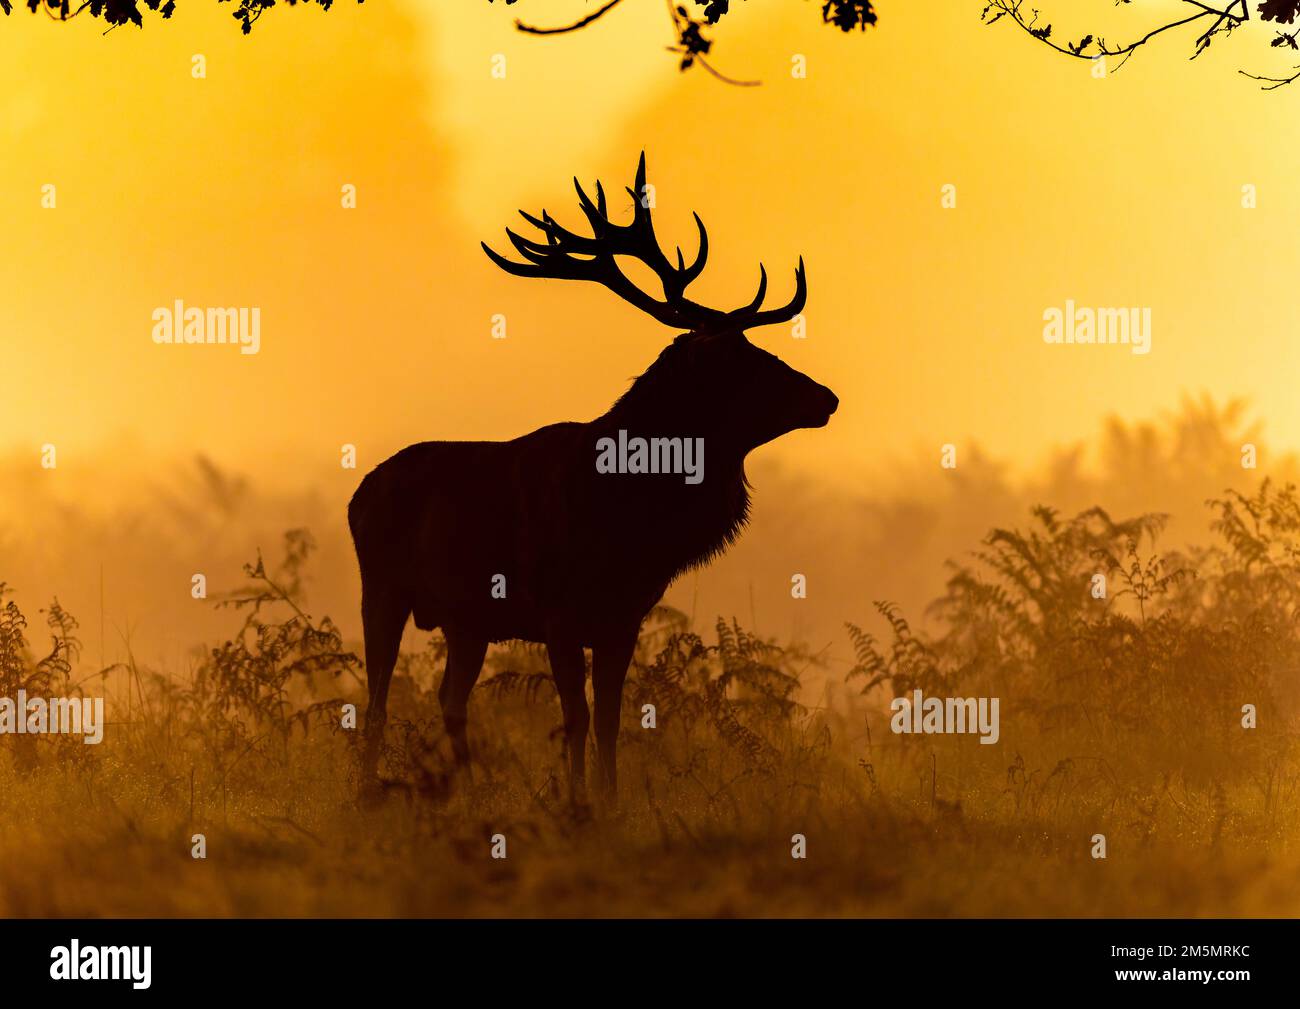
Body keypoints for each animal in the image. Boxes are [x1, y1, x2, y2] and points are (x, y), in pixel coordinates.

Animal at [348, 154, 837, 804]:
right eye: (747, 359)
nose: (827, 397)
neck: (628, 511)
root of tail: (358, 494)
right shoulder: (558, 611)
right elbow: (575, 717)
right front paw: (578, 803)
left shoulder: (623, 616)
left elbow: (609, 719)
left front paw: (610, 802)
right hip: (382, 589)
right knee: (377, 704)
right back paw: (367, 793)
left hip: (466, 621)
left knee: (450, 699)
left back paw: (472, 796)